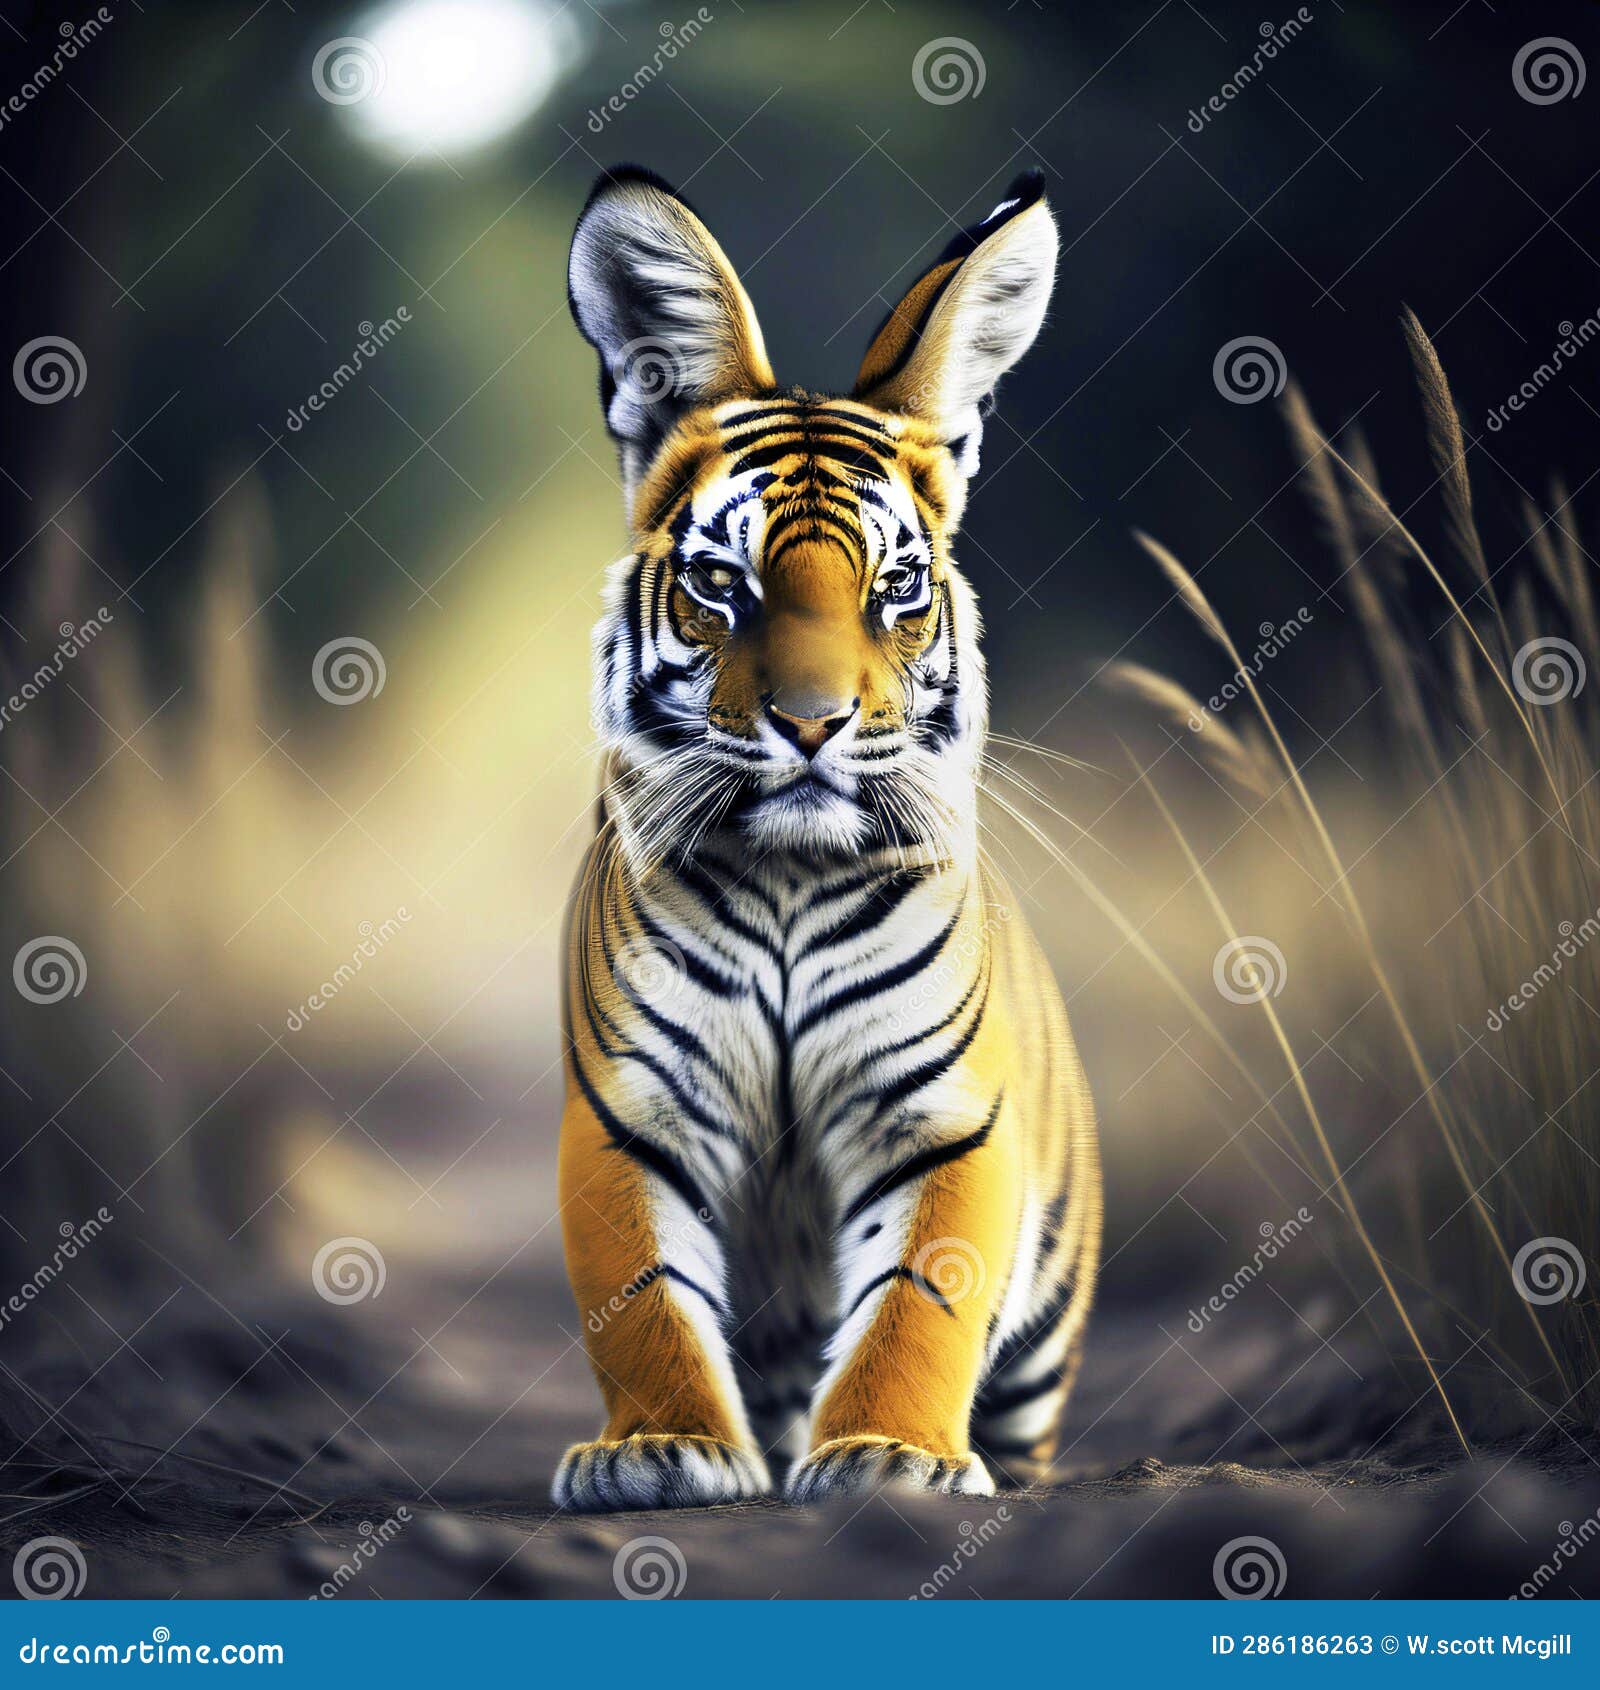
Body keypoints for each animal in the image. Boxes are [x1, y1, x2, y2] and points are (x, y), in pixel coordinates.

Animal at [553, 164, 1100, 1511]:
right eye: (724, 584)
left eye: (893, 588)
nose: (812, 722)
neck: (791, 878)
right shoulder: (629, 1110)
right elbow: (640, 1295)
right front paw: (660, 1450)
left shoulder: (941, 1116)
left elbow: (920, 1296)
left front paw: (893, 1458)